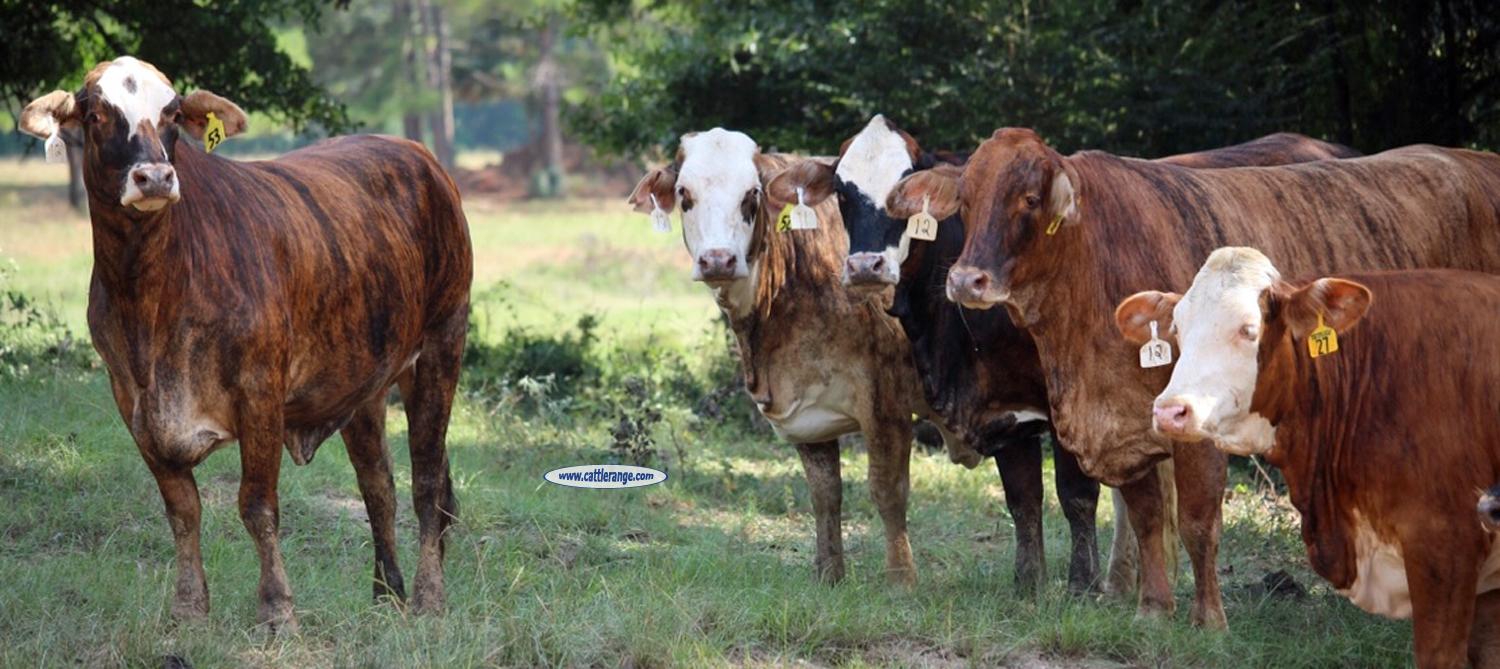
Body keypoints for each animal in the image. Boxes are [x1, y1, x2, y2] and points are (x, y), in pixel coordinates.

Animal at [17, 57, 473, 631]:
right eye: (97, 114)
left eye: (171, 114)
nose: (155, 177)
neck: (149, 293)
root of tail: (419, 155)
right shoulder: (133, 401)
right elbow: (182, 510)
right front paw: (189, 608)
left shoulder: (260, 393)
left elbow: (257, 506)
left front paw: (278, 611)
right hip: (364, 379)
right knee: (379, 486)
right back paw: (386, 594)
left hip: (443, 341)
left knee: (428, 481)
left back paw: (429, 598)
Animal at [628, 128, 935, 585]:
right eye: (684, 194)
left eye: (751, 194)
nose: (718, 260)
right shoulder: (808, 411)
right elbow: (825, 494)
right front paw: (830, 575)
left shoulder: (886, 400)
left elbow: (887, 491)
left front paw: (902, 580)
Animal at [766, 116, 1360, 596]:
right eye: (843, 193)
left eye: (902, 192)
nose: (866, 267)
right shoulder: (1005, 405)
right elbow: (1024, 499)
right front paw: (1029, 585)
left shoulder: (1068, 402)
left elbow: (1076, 495)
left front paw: (1081, 584)